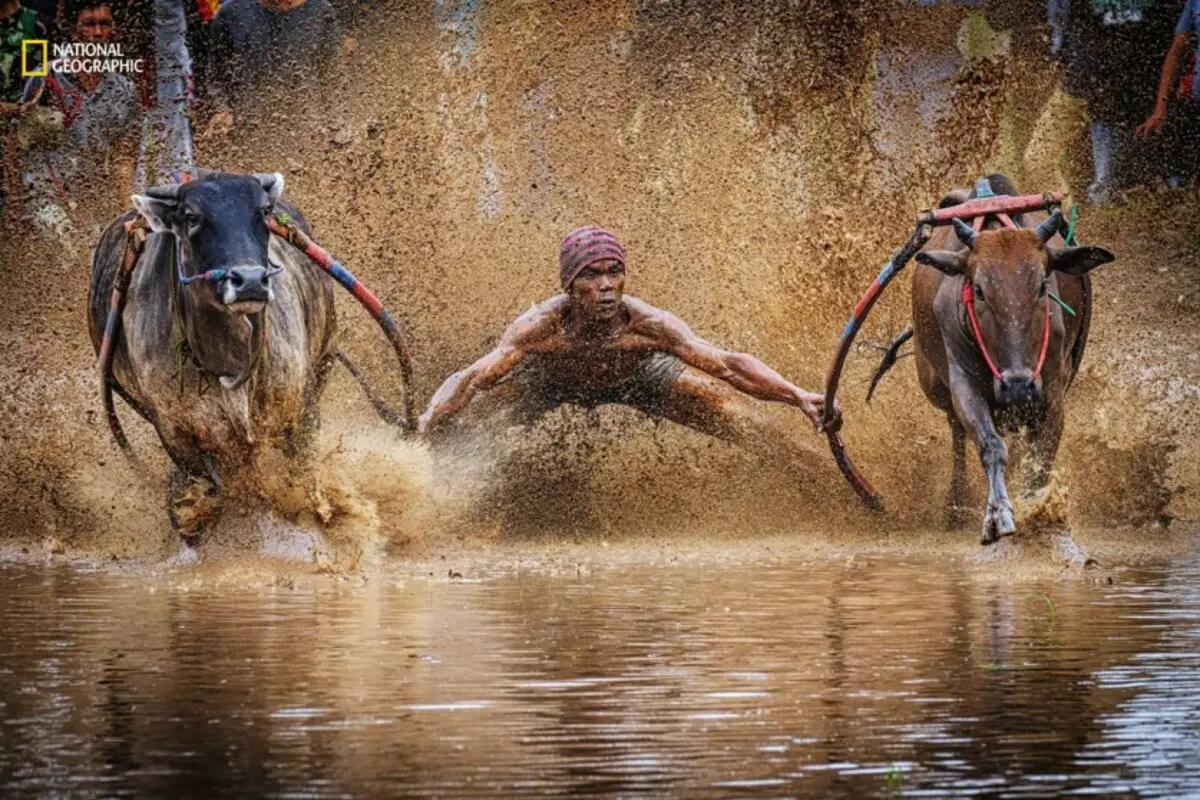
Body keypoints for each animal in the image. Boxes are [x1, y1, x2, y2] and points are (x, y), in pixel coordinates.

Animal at [87, 171, 338, 534]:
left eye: (263, 211)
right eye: (192, 217)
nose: (250, 281)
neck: (229, 361)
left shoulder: (300, 407)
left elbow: (306, 483)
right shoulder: (173, 428)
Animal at [907, 175, 1113, 544]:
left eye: (1042, 286)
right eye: (978, 290)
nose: (1018, 385)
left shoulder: (1052, 389)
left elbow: (1040, 456)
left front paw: (1038, 509)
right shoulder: (964, 385)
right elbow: (990, 446)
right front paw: (997, 513)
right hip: (935, 385)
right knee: (957, 434)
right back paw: (955, 503)